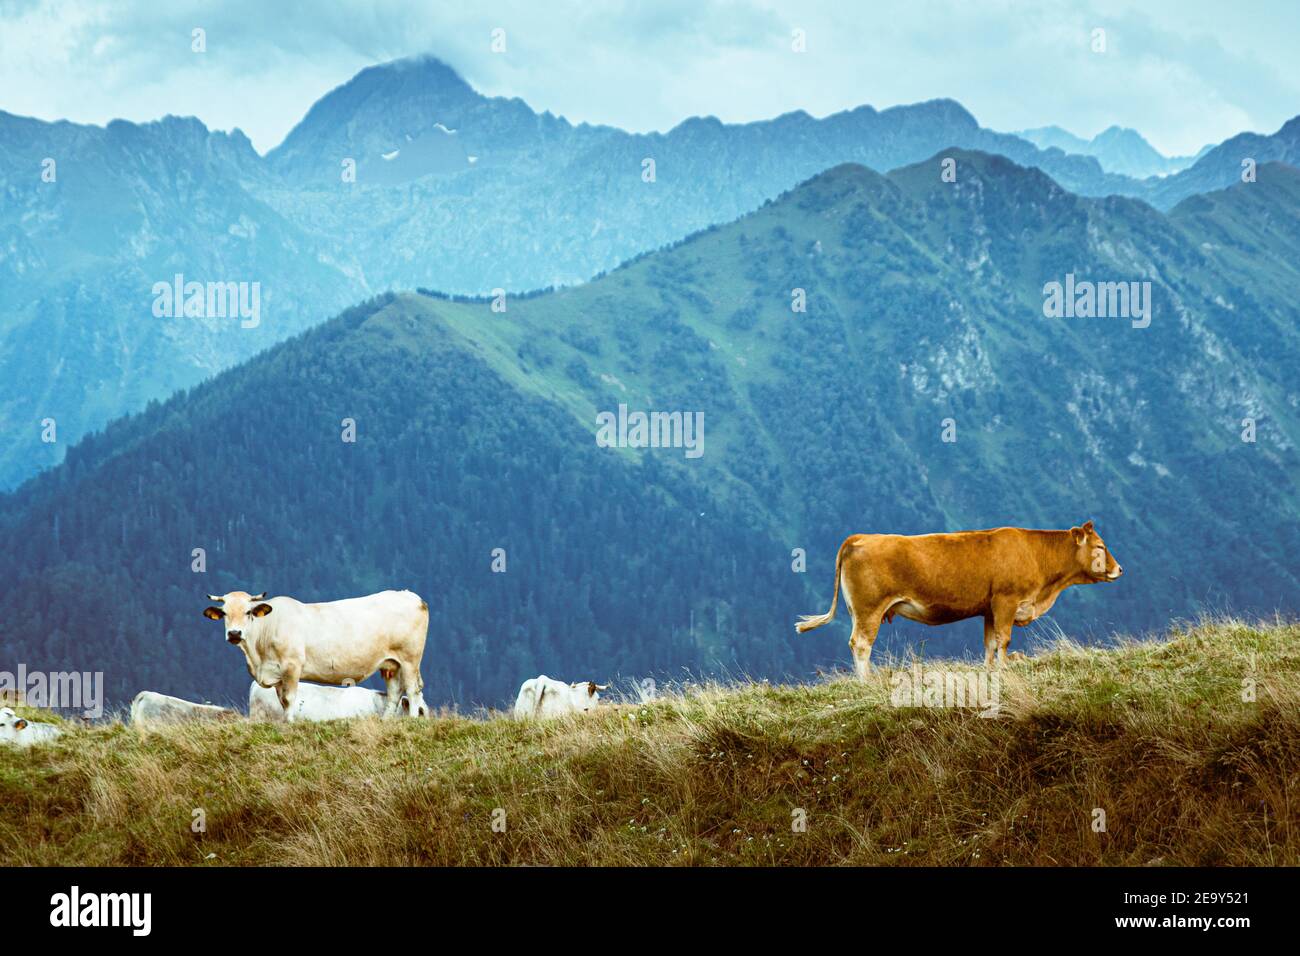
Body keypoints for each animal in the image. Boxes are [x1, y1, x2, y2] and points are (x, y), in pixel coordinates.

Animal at [203, 589, 429, 721]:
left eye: (248, 612)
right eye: (224, 613)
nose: (234, 633)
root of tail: (411, 596)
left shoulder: (292, 666)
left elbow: (290, 699)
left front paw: (290, 724)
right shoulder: (278, 675)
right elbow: (282, 701)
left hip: (410, 659)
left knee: (412, 691)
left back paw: (413, 720)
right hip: (391, 663)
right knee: (394, 694)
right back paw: (386, 722)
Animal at [795, 521, 1123, 677]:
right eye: (1100, 546)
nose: (1120, 568)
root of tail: (860, 537)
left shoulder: (989, 608)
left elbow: (990, 643)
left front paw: (991, 671)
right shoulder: (1006, 601)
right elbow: (1004, 640)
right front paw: (1005, 668)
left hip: (859, 610)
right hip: (869, 608)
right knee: (861, 644)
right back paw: (868, 681)